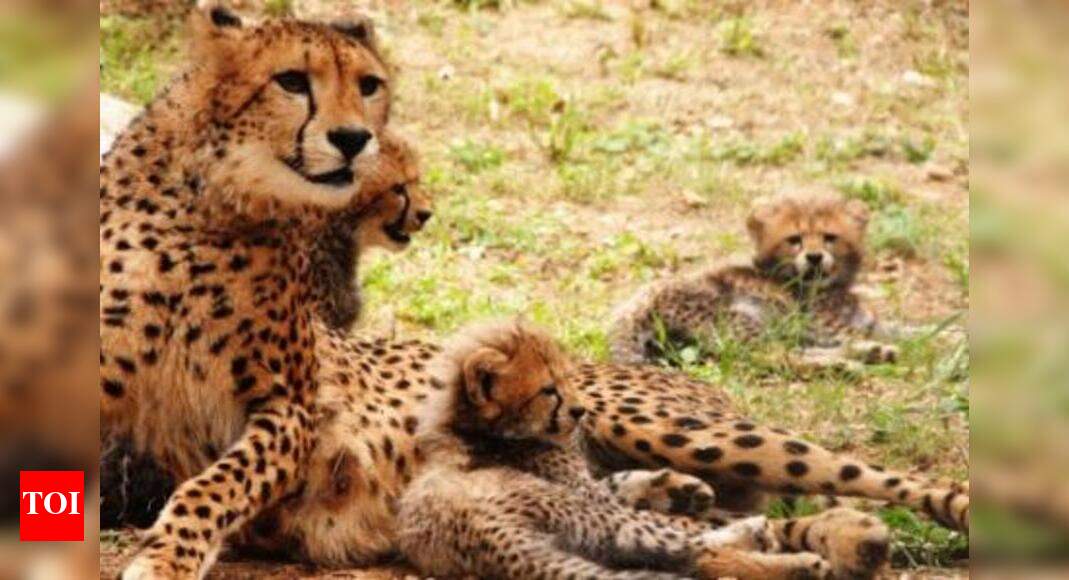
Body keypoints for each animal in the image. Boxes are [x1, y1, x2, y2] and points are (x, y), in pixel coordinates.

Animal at [98, 3, 394, 577]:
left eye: (369, 85)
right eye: (292, 81)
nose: (353, 138)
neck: (215, 203)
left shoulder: (290, 409)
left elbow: (218, 484)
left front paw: (169, 556)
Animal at [610, 191, 899, 369]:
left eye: (830, 237)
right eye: (795, 240)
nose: (814, 257)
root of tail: (634, 305)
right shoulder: (826, 326)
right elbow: (893, 334)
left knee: (793, 349)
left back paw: (868, 353)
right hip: (744, 321)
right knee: (774, 355)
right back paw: (846, 363)